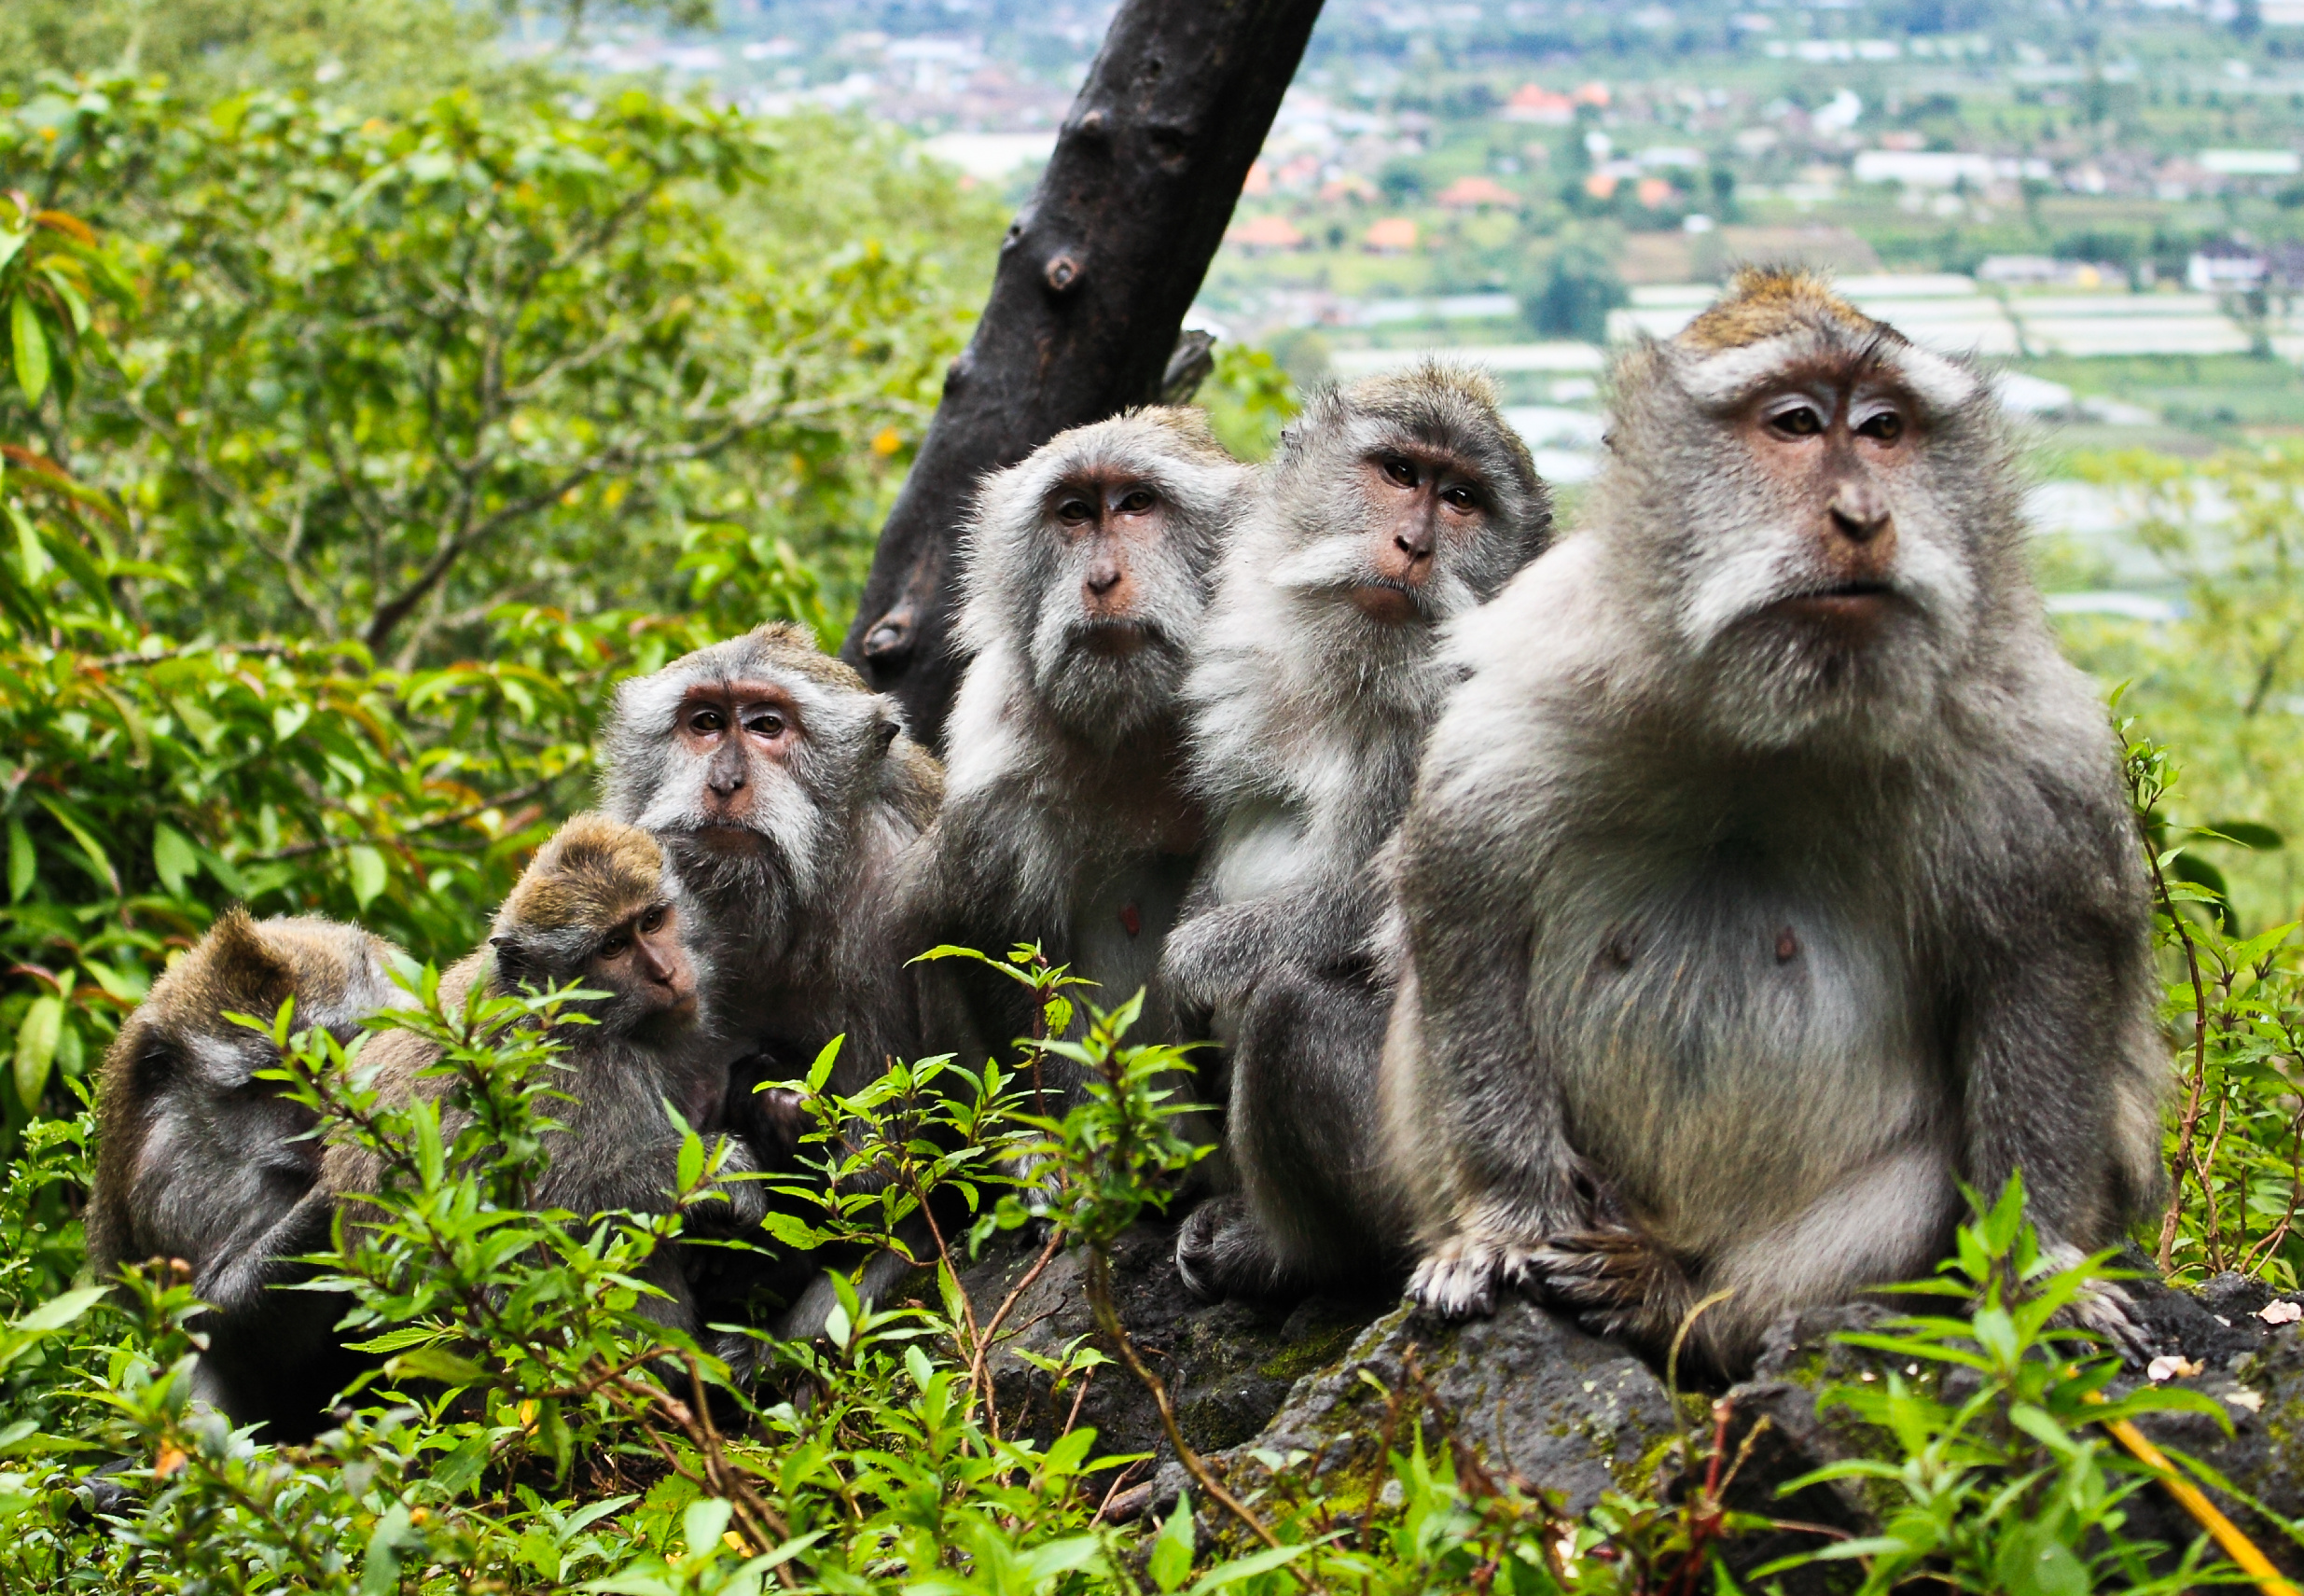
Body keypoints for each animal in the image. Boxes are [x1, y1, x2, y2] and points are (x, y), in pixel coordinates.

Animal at [88, 910, 411, 1438]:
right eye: (272, 1082)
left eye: (329, 1057)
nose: (324, 1114)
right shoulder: (175, 1175)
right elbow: (222, 1317)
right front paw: (336, 1190)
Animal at [904, 408, 1247, 1109]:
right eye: (1074, 513)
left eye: (1137, 503)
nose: (1101, 580)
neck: (1140, 734)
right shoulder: (1001, 755)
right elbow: (995, 949)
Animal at [1160, 363, 1552, 1303]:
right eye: (1400, 474)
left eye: (1462, 498)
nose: (1413, 544)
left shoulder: (1443, 734)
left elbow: (1371, 907)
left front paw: (1187, 965)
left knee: (1288, 1010)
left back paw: (1284, 1252)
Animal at [1378, 267, 2166, 1378]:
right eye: (1794, 424)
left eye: (1884, 428)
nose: (1863, 513)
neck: (1771, 725)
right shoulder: (1519, 700)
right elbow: (1465, 924)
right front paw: (1504, 1226)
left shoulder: (2033, 762)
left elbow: (2045, 981)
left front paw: (2042, 1275)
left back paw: (1681, 1304)